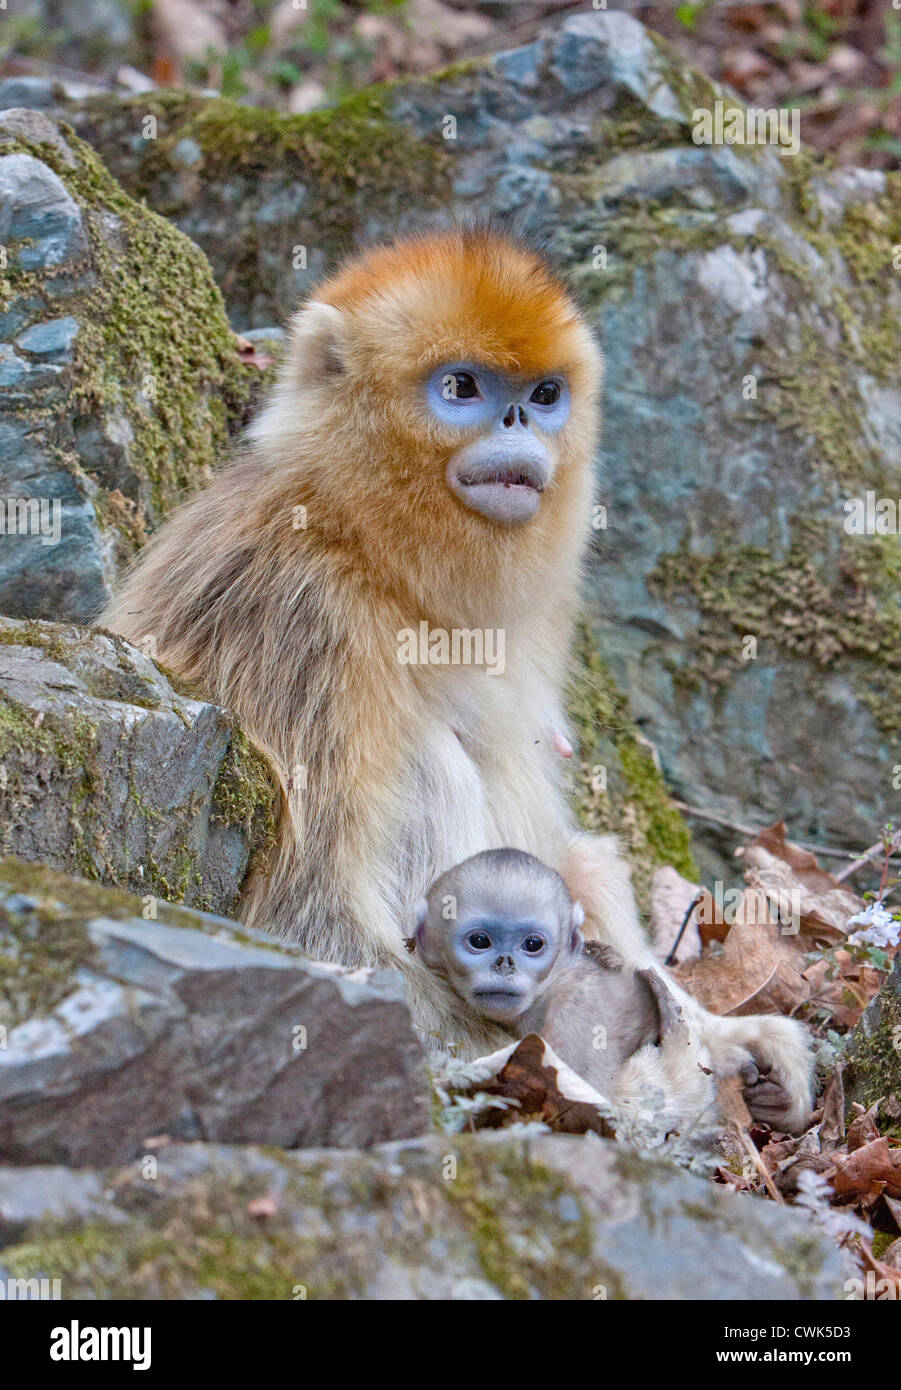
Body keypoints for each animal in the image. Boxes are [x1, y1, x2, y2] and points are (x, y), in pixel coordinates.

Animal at [100, 226, 814, 1133]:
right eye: (463, 387)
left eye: (543, 394)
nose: (518, 419)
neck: (365, 543)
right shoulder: (304, 610)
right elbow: (316, 928)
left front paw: (720, 1035)